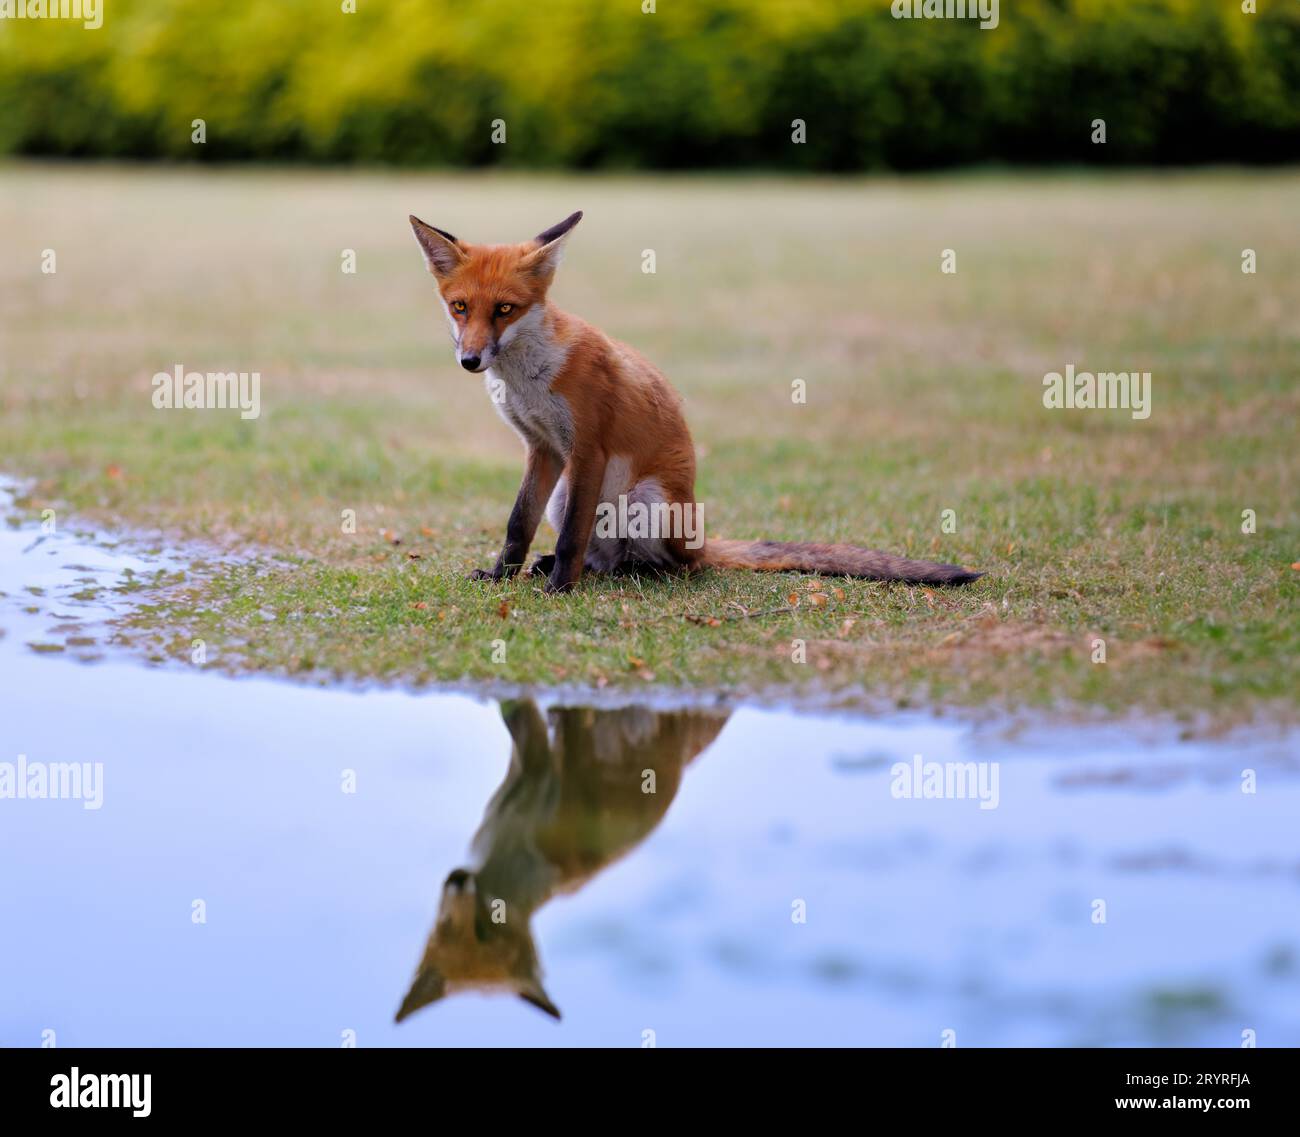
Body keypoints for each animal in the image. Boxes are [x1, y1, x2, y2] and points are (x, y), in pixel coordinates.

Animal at [408, 210, 983, 593]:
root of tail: (701, 540)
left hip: (644, 503)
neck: (528, 379)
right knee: (602, 555)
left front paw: (558, 591)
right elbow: (517, 524)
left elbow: (571, 535)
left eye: (505, 309)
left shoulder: (587, 448)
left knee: (672, 565)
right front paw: (501, 575)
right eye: (460, 307)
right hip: (571, 492)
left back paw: (628, 571)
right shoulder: (544, 448)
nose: (471, 360)